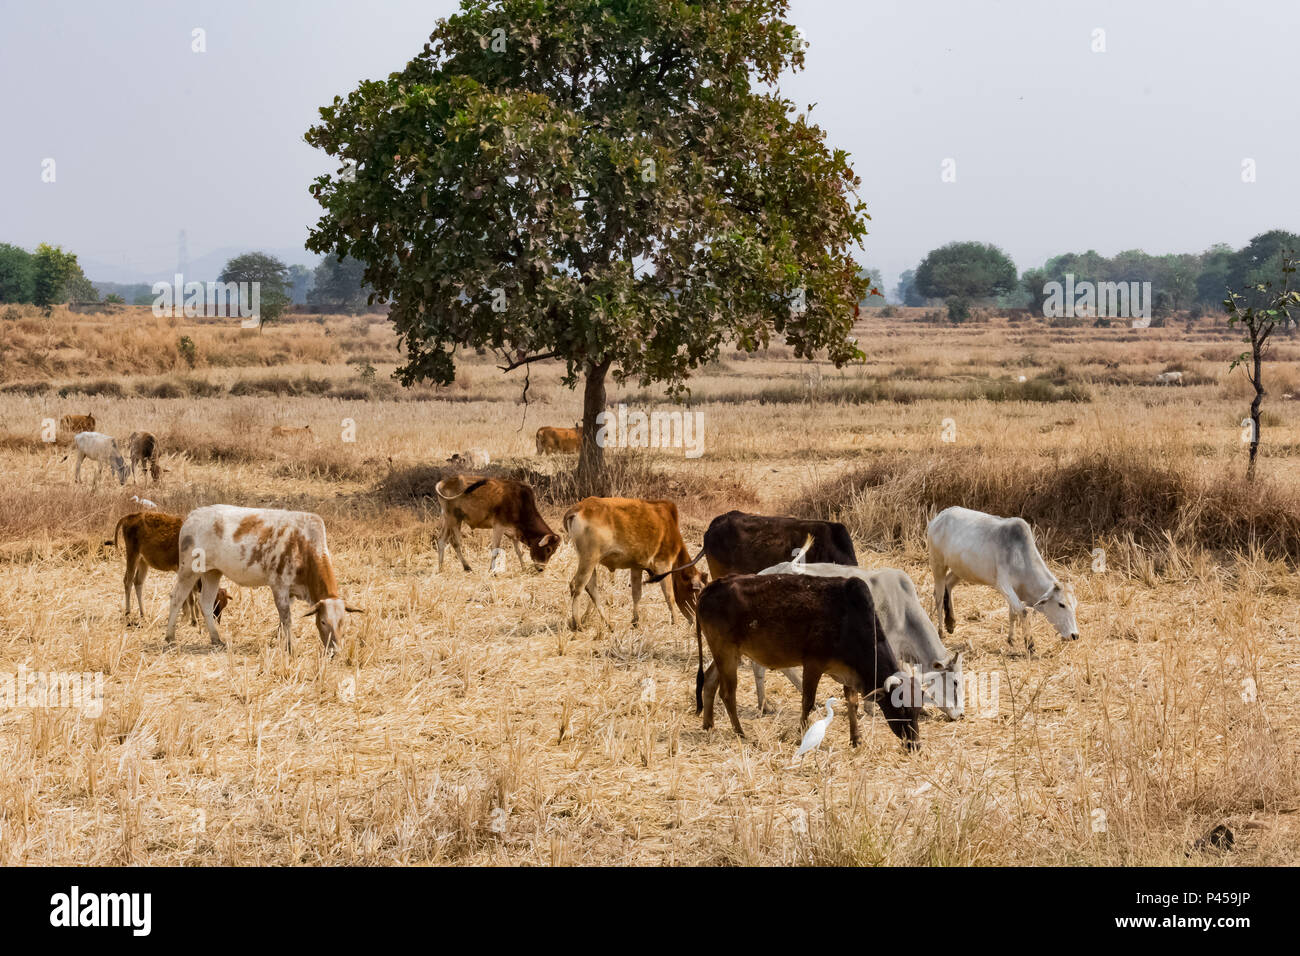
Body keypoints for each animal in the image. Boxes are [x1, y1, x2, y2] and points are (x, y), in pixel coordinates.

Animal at [164, 505, 363, 654]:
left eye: (343, 622)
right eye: (323, 622)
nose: (335, 651)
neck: (304, 545)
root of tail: (193, 515)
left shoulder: (290, 592)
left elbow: (283, 620)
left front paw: (278, 639)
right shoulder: (279, 586)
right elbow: (286, 617)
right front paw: (290, 647)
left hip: (212, 572)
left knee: (205, 602)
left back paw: (216, 638)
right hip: (189, 570)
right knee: (177, 597)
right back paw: (170, 637)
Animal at [562, 497, 706, 630]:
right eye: (697, 592)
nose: (696, 621)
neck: (669, 527)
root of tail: (579, 507)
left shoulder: (636, 567)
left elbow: (636, 594)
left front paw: (635, 621)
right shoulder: (663, 564)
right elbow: (669, 596)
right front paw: (675, 622)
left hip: (590, 561)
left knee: (589, 587)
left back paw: (607, 624)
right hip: (589, 559)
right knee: (578, 586)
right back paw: (579, 624)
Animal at [695, 573, 920, 750]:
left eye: (917, 710)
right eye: (901, 709)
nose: (915, 745)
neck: (849, 621)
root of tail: (709, 588)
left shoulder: (847, 672)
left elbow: (852, 704)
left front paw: (856, 739)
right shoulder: (813, 664)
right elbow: (808, 701)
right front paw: (801, 734)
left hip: (727, 654)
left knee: (709, 681)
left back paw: (708, 725)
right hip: (725, 651)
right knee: (727, 693)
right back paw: (740, 732)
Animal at [757, 562, 964, 719]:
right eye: (955, 682)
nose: (961, 714)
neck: (904, 612)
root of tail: (763, 574)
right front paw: (871, 708)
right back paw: (764, 705)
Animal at [927, 506, 1079, 653]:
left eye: (1074, 605)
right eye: (1061, 604)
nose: (1075, 635)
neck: (1021, 557)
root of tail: (939, 516)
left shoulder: (1014, 590)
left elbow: (1013, 613)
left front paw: (1011, 639)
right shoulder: (1003, 585)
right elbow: (1022, 611)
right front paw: (1030, 643)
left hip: (960, 569)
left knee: (947, 585)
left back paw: (950, 622)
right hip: (938, 563)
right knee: (938, 595)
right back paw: (940, 631)